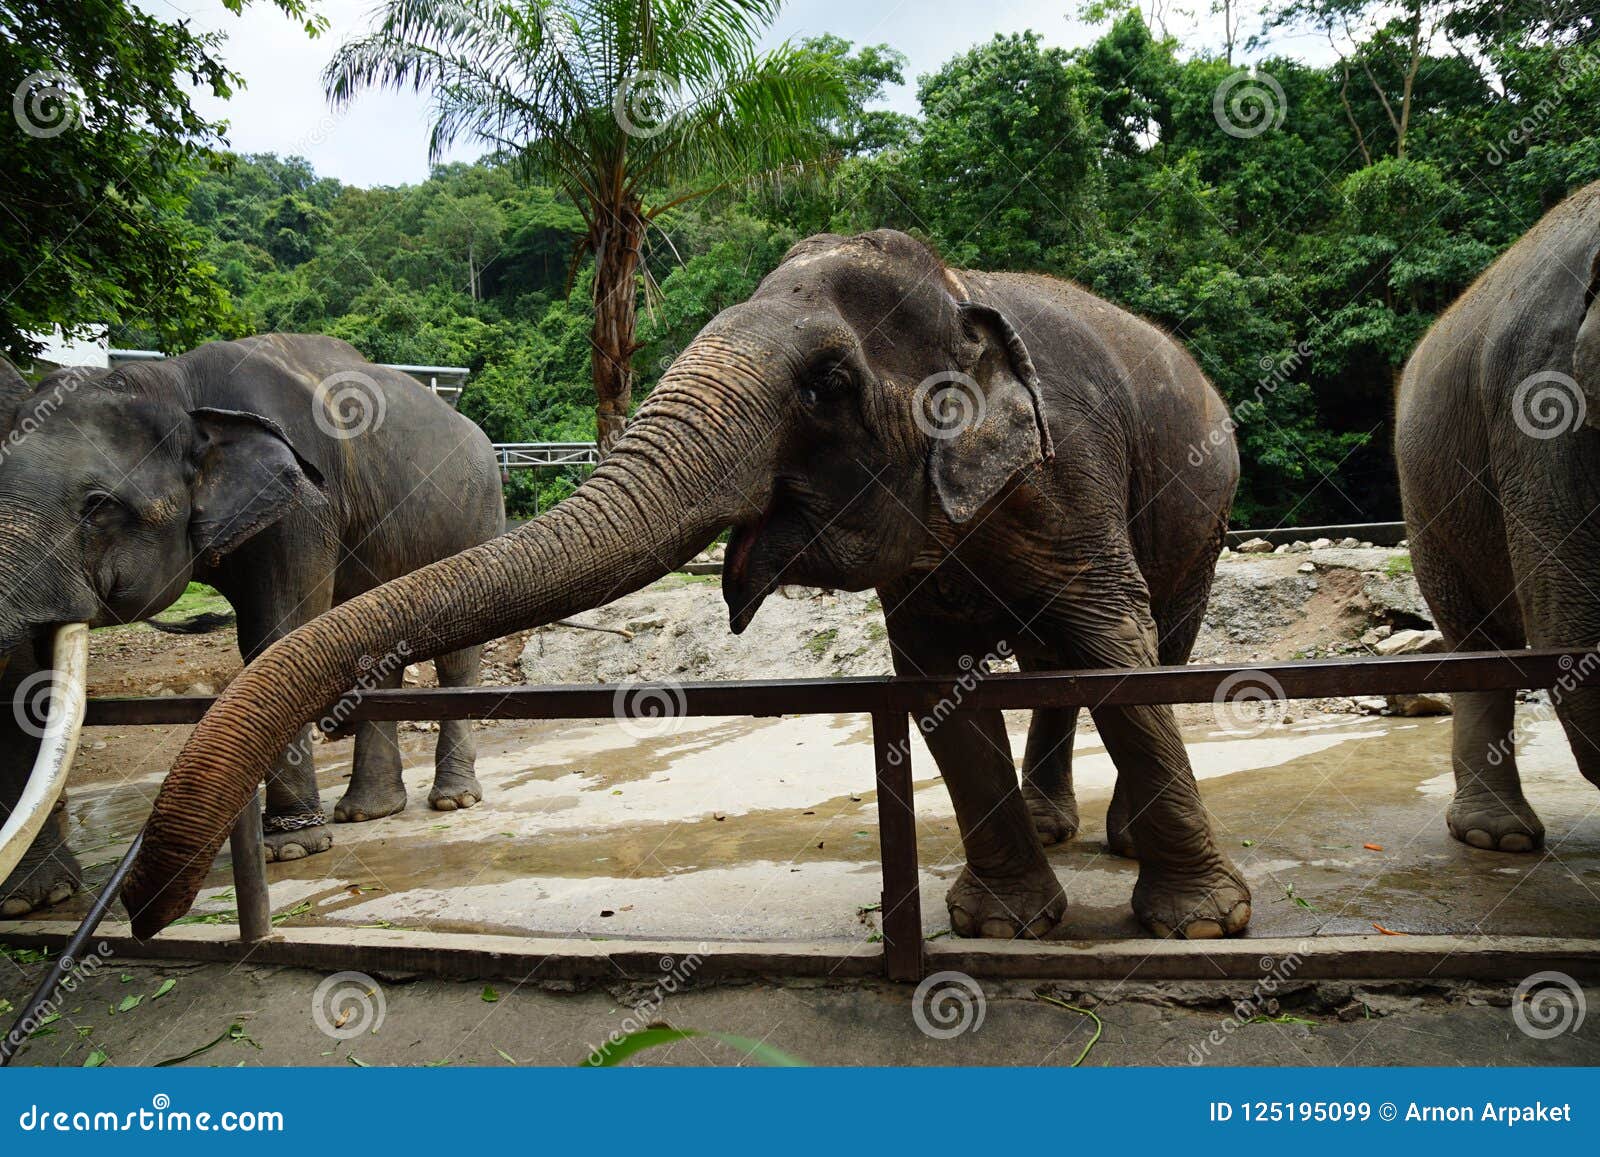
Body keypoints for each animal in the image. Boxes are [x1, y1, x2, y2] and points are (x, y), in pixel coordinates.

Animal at [0, 334, 504, 916]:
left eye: (98, 506)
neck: (178, 384)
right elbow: (22, 680)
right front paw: (32, 900)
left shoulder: (307, 504)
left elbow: (277, 632)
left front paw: (290, 848)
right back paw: (368, 812)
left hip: (476, 516)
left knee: (457, 657)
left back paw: (453, 801)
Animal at [124, 229, 1247, 942]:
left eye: (828, 384)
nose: (142, 905)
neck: (956, 286)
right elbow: (936, 682)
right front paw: (1003, 925)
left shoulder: (1073, 472)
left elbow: (1113, 644)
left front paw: (1200, 923)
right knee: (1058, 662)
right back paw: (1065, 828)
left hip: (1206, 506)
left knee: (1157, 638)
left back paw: (1119, 837)